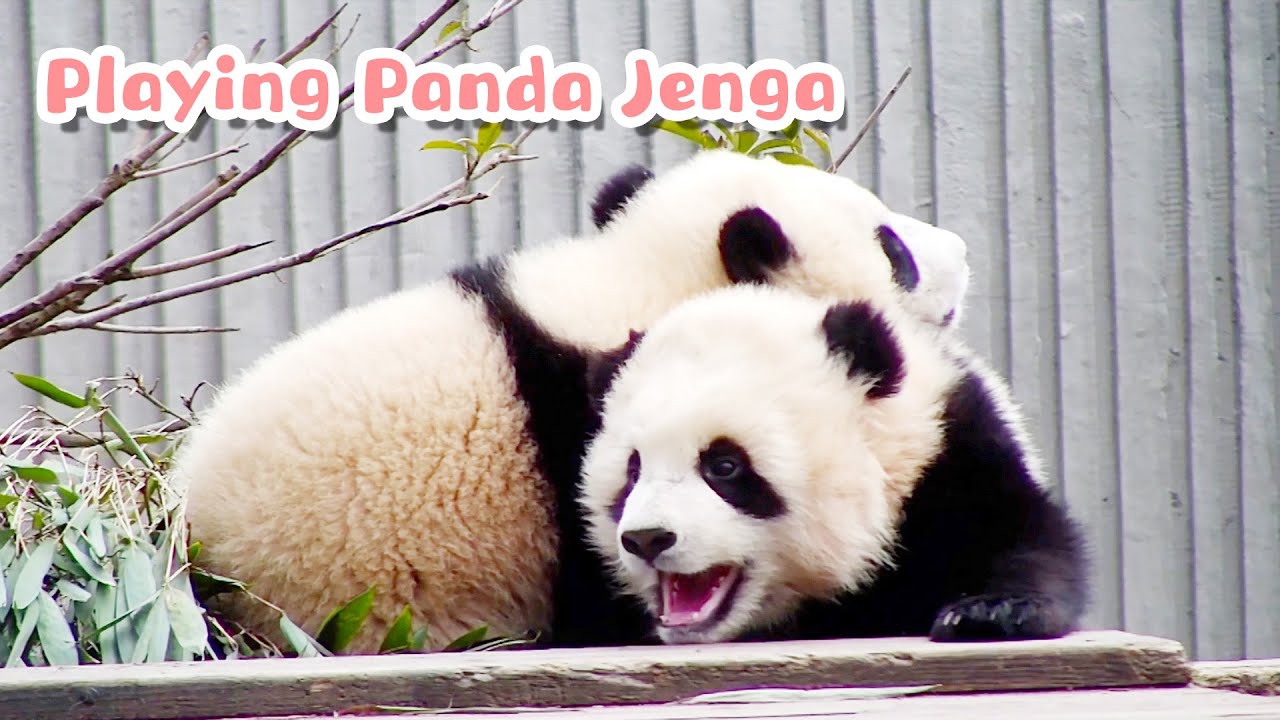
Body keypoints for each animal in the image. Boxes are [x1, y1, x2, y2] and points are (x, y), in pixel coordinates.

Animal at [578, 283, 1089, 645]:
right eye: (632, 471)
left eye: (724, 466)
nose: (647, 538)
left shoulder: (955, 453)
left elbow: (1027, 536)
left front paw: (988, 612)